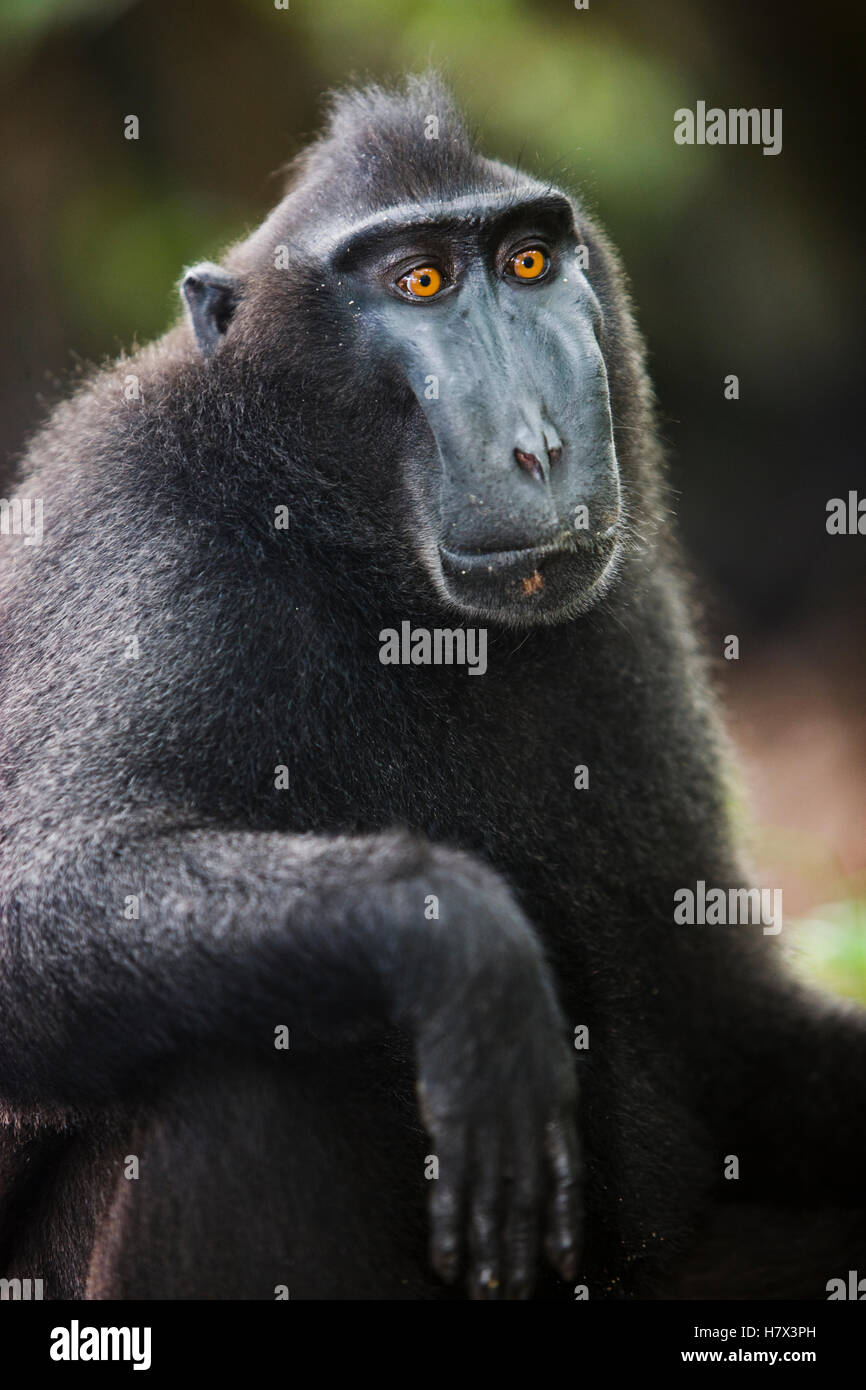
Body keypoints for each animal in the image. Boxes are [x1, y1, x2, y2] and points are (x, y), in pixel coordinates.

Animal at [0, 74, 863, 1301]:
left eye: (528, 263)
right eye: (419, 281)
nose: (539, 448)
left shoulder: (629, 614)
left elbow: (733, 1030)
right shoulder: (137, 537)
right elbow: (34, 906)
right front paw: (465, 949)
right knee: (246, 1080)